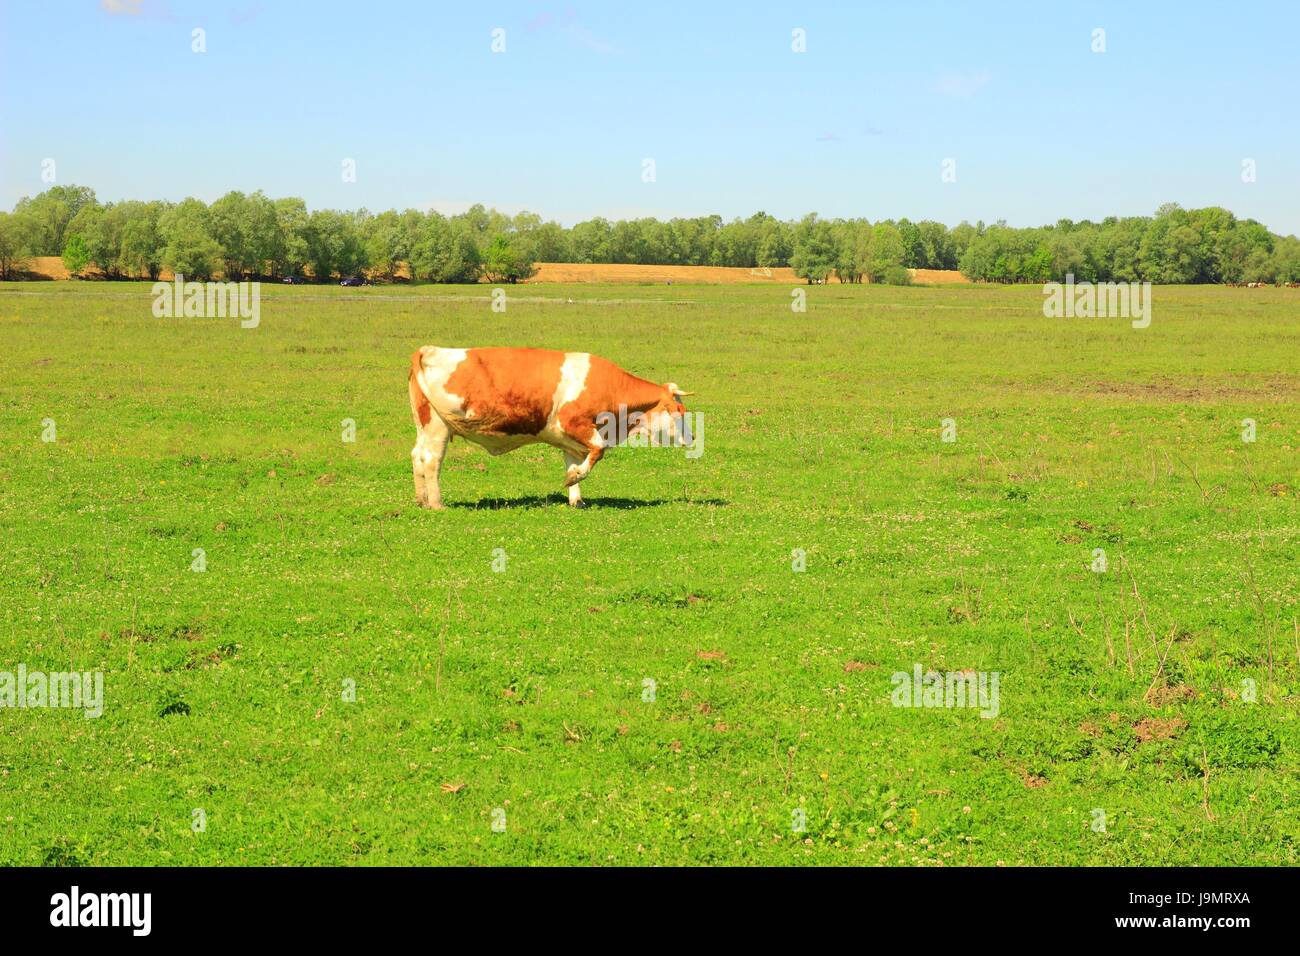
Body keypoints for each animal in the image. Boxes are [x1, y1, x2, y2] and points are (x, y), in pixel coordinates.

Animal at [407, 346, 692, 509]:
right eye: (680, 412)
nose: (691, 438)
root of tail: (428, 350)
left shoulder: (571, 438)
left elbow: (575, 459)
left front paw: (576, 498)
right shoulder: (575, 423)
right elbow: (598, 451)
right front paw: (574, 477)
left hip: (424, 426)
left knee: (417, 456)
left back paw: (422, 500)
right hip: (438, 426)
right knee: (431, 460)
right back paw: (437, 503)